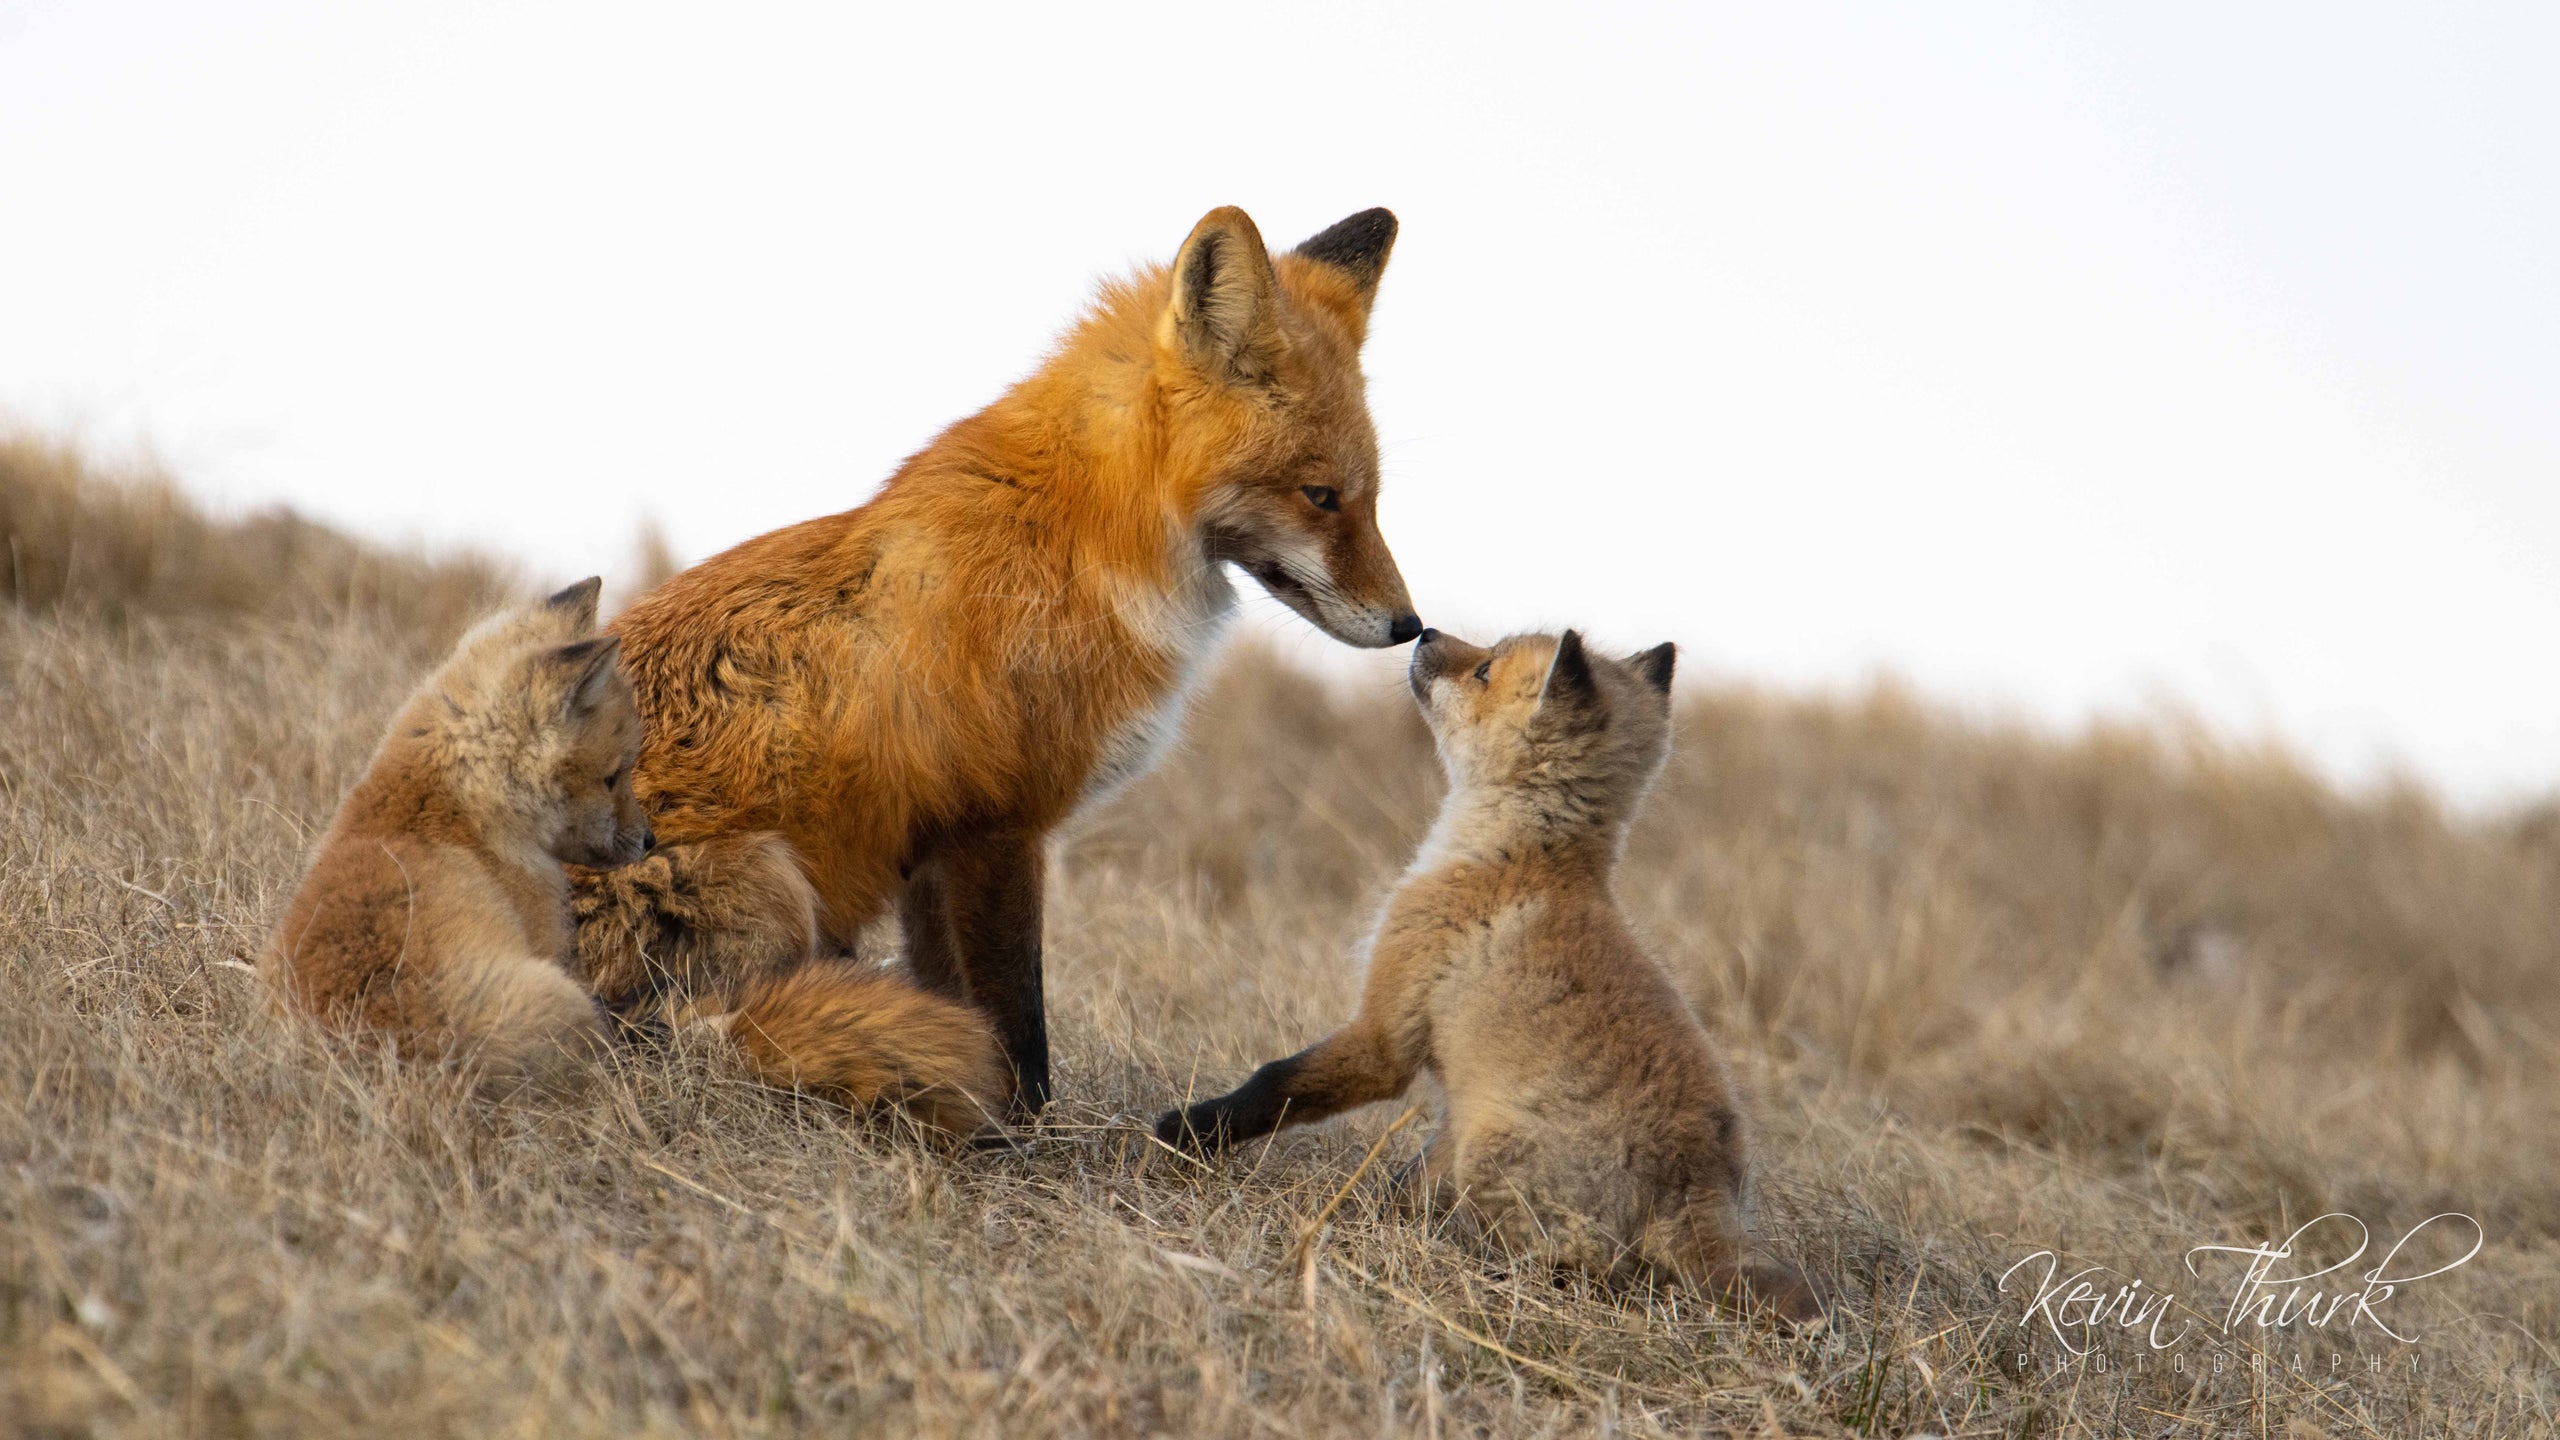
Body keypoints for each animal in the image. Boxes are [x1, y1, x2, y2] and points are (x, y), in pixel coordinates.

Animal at [581, 205, 1424, 1114]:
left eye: (1372, 498)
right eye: (1321, 496)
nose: (1410, 626)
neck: (1082, 539)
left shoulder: (928, 856)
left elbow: (956, 997)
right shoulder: (999, 827)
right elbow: (1018, 1029)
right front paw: (1022, 1134)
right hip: (768, 884)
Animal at [1157, 629, 1825, 1325]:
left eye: (1483, 670)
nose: (1423, 630)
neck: (1516, 858)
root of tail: (1697, 1190)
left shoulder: (1386, 1039)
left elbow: (1274, 1082)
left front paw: (1186, 1133)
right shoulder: (1450, 1107)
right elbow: (1406, 1177)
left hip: (1495, 1154)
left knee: (1563, 1266)